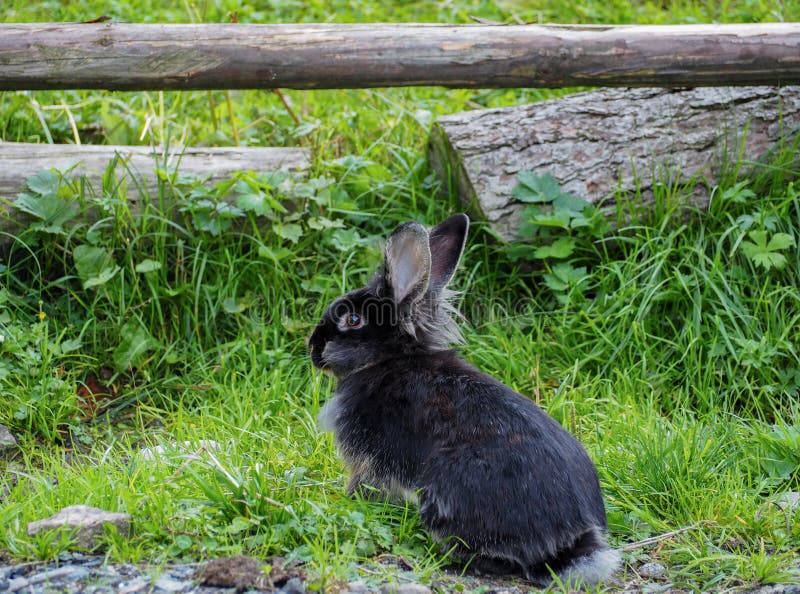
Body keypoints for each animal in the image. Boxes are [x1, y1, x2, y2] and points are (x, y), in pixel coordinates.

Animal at [308, 213, 620, 586]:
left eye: (352, 319)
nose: (312, 347)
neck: (389, 360)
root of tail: (568, 545)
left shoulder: (370, 457)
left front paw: (351, 502)